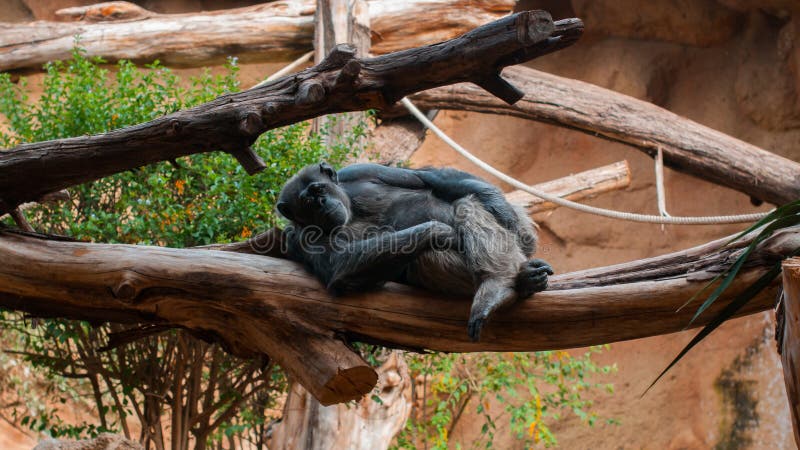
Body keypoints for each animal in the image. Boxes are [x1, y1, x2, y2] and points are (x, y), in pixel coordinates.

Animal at [276, 162, 552, 341]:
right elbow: (339, 266)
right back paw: (506, 285)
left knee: (467, 201)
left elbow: (430, 178)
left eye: (319, 189)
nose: (322, 203)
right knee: (428, 255)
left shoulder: (360, 170)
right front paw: (441, 230)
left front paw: (505, 215)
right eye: (307, 203)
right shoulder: (300, 239)